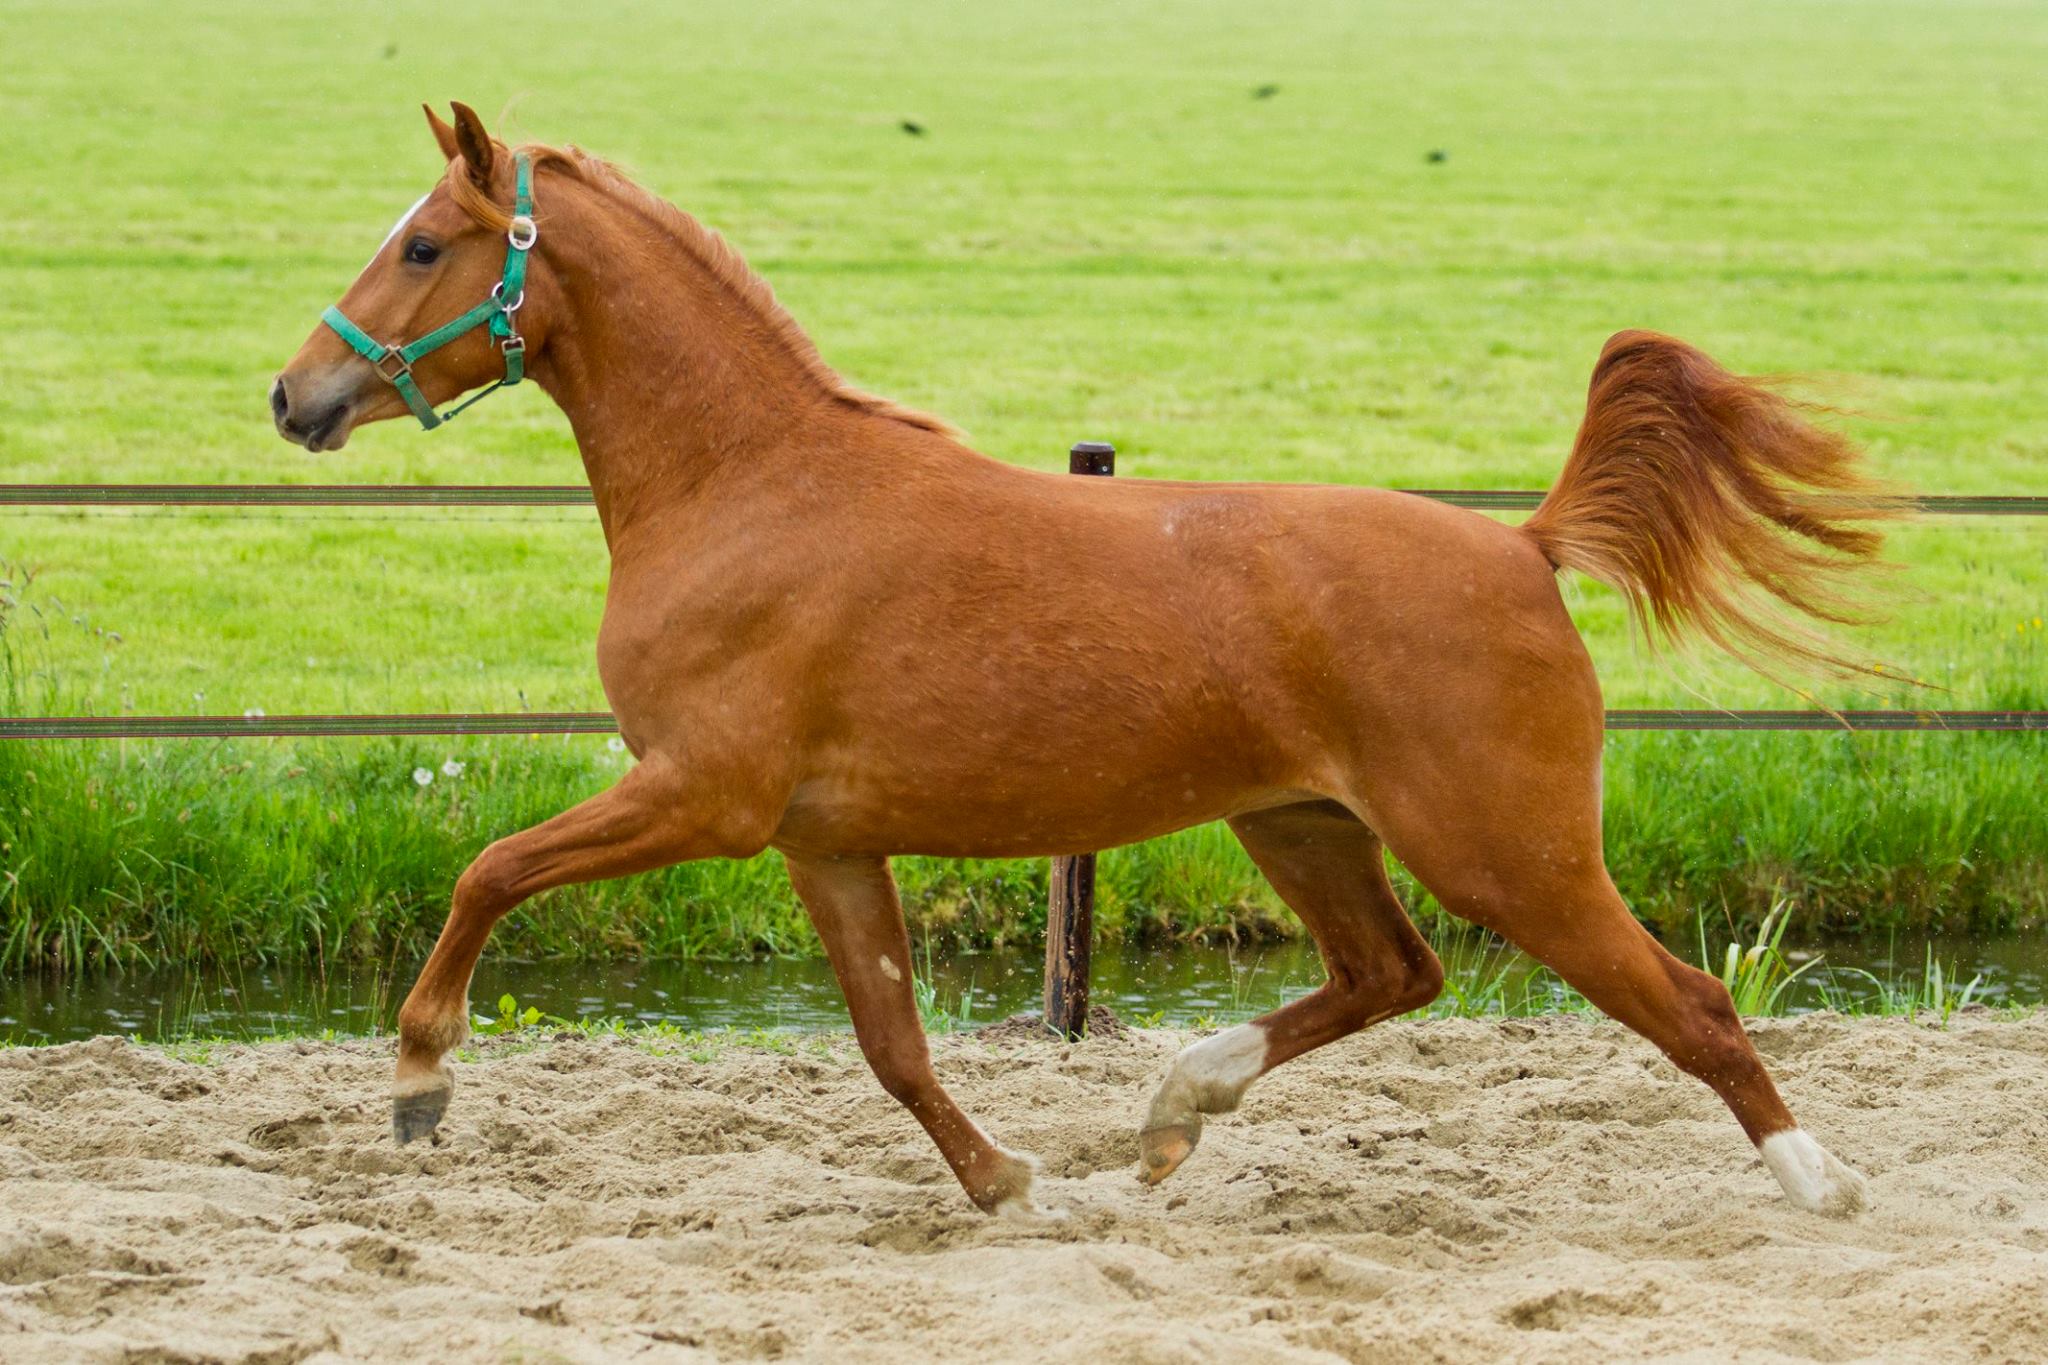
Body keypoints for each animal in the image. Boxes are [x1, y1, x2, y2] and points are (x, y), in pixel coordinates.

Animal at [271, 102, 1890, 1219]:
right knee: (1393, 970)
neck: (747, 489)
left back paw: (1823, 1185)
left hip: (1512, 851)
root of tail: (1525, 547)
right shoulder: (821, 842)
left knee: (1687, 1003)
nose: (297, 395)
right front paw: (1010, 1184)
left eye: (424, 245)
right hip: (1303, 825)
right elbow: (892, 1042)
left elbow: (488, 870)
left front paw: (419, 1084)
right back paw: (1173, 1110)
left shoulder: (701, 798)